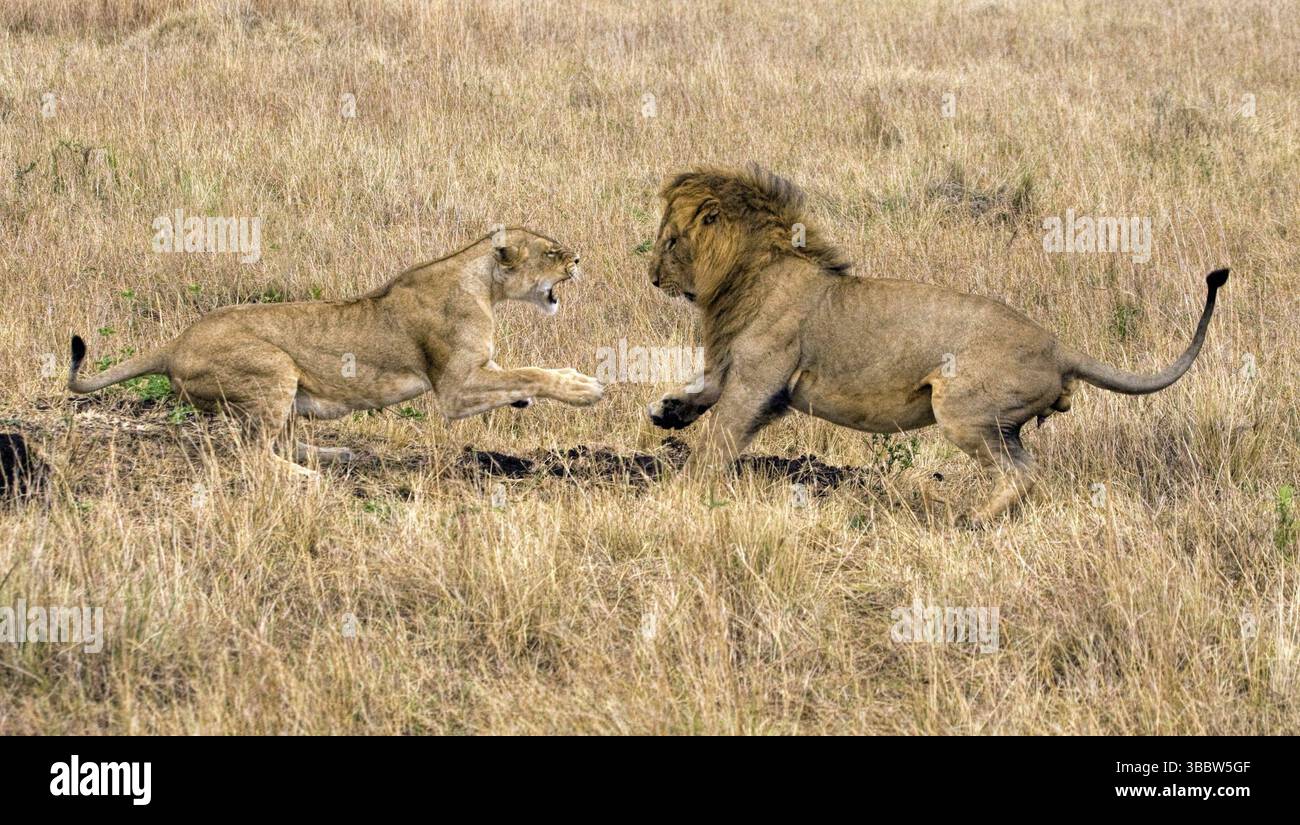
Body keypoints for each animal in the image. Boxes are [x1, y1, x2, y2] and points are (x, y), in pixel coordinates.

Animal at [67, 227, 604, 474]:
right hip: (274, 368)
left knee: (276, 441)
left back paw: (333, 453)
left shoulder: (478, 370)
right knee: (251, 454)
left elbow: (520, 372)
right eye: (552, 253)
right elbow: (530, 372)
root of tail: (176, 341)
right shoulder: (453, 390)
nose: (580, 259)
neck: (482, 283)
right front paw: (583, 389)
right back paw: (306, 477)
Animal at [645, 165, 1228, 525]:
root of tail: (1058, 347)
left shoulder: (760, 379)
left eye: (670, 241)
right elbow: (701, 392)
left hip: (964, 410)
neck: (743, 277)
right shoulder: (733, 366)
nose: (652, 278)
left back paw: (970, 521)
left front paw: (679, 494)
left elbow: (719, 435)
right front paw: (666, 412)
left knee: (1024, 472)